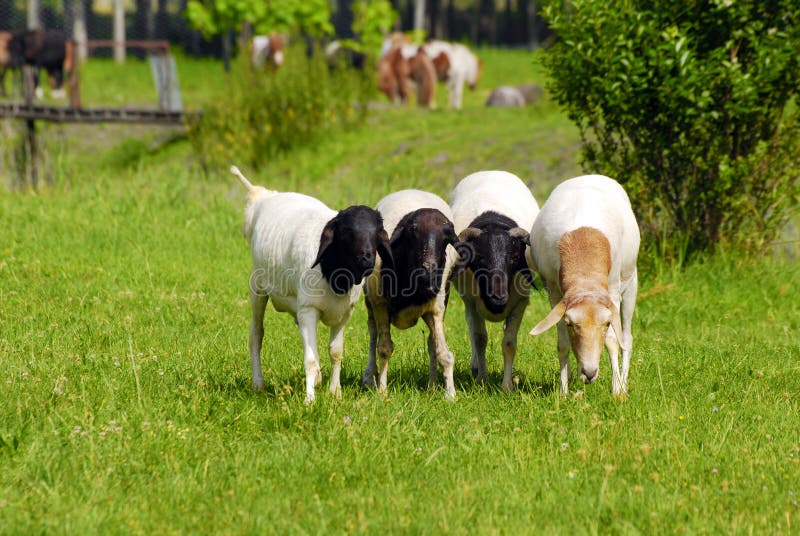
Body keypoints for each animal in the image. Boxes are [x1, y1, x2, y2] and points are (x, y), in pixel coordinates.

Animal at [231, 166, 392, 403]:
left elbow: (336, 352)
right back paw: (258, 383)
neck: (334, 274)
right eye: (347, 232)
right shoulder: (309, 309)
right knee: (256, 334)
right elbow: (310, 360)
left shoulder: (344, 314)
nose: (366, 259)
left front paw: (335, 392)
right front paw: (310, 400)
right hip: (258, 288)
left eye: (378, 233)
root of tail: (264, 196)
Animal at [361, 189, 460, 399]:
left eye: (447, 236)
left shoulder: (437, 308)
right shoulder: (380, 304)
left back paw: (432, 386)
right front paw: (382, 391)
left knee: (431, 342)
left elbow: (443, 353)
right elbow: (384, 348)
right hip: (370, 302)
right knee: (372, 333)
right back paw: (369, 377)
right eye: (412, 232)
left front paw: (450, 394)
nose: (428, 269)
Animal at [450, 171, 540, 391]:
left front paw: (506, 386)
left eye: (514, 257)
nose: (498, 296)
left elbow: (509, 343)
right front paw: (482, 380)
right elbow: (480, 339)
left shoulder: (520, 303)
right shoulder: (471, 302)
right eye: (480, 258)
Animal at [528, 175, 640, 396]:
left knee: (627, 338)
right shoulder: (554, 294)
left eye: (606, 324)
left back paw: (623, 384)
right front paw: (563, 392)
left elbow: (613, 341)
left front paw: (616, 390)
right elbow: (562, 344)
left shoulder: (612, 292)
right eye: (570, 324)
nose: (589, 373)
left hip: (631, 284)